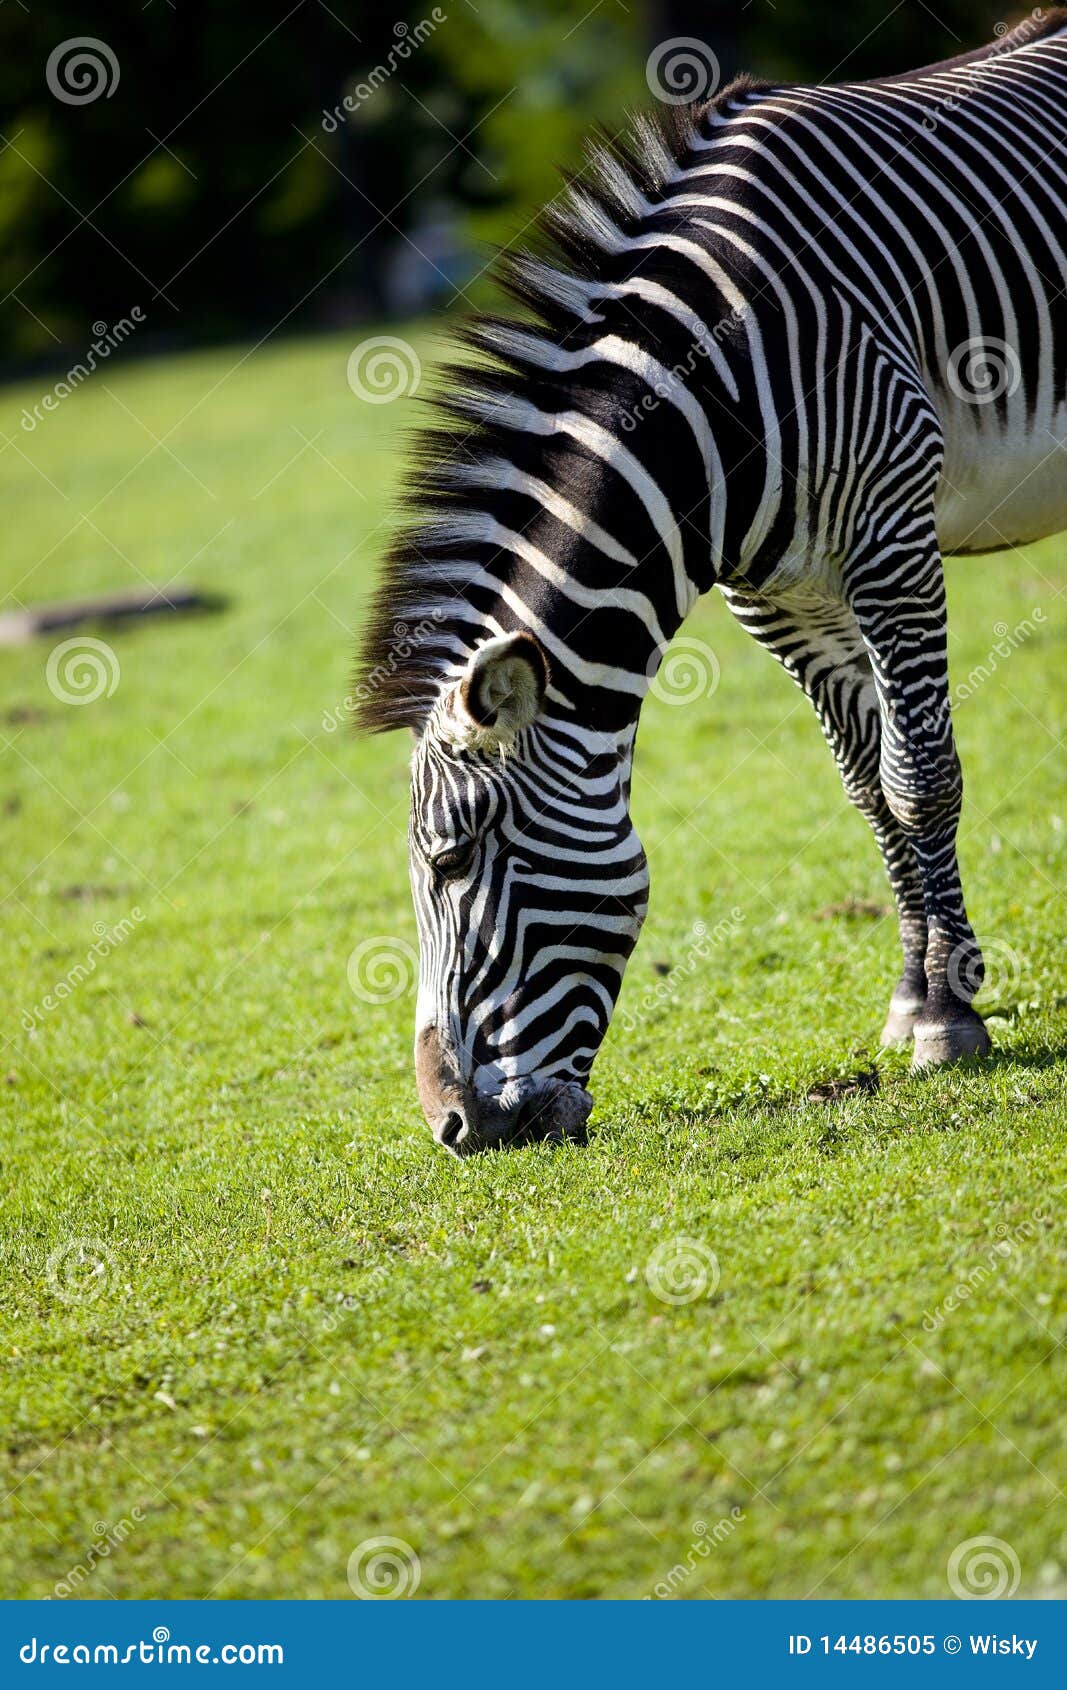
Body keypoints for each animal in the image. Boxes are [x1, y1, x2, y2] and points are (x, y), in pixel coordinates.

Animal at [356, 14, 1067, 1155]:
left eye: (454, 862)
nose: (452, 1129)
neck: (713, 393)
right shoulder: (780, 597)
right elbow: (865, 787)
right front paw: (911, 998)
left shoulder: (890, 538)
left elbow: (920, 778)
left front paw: (951, 1015)